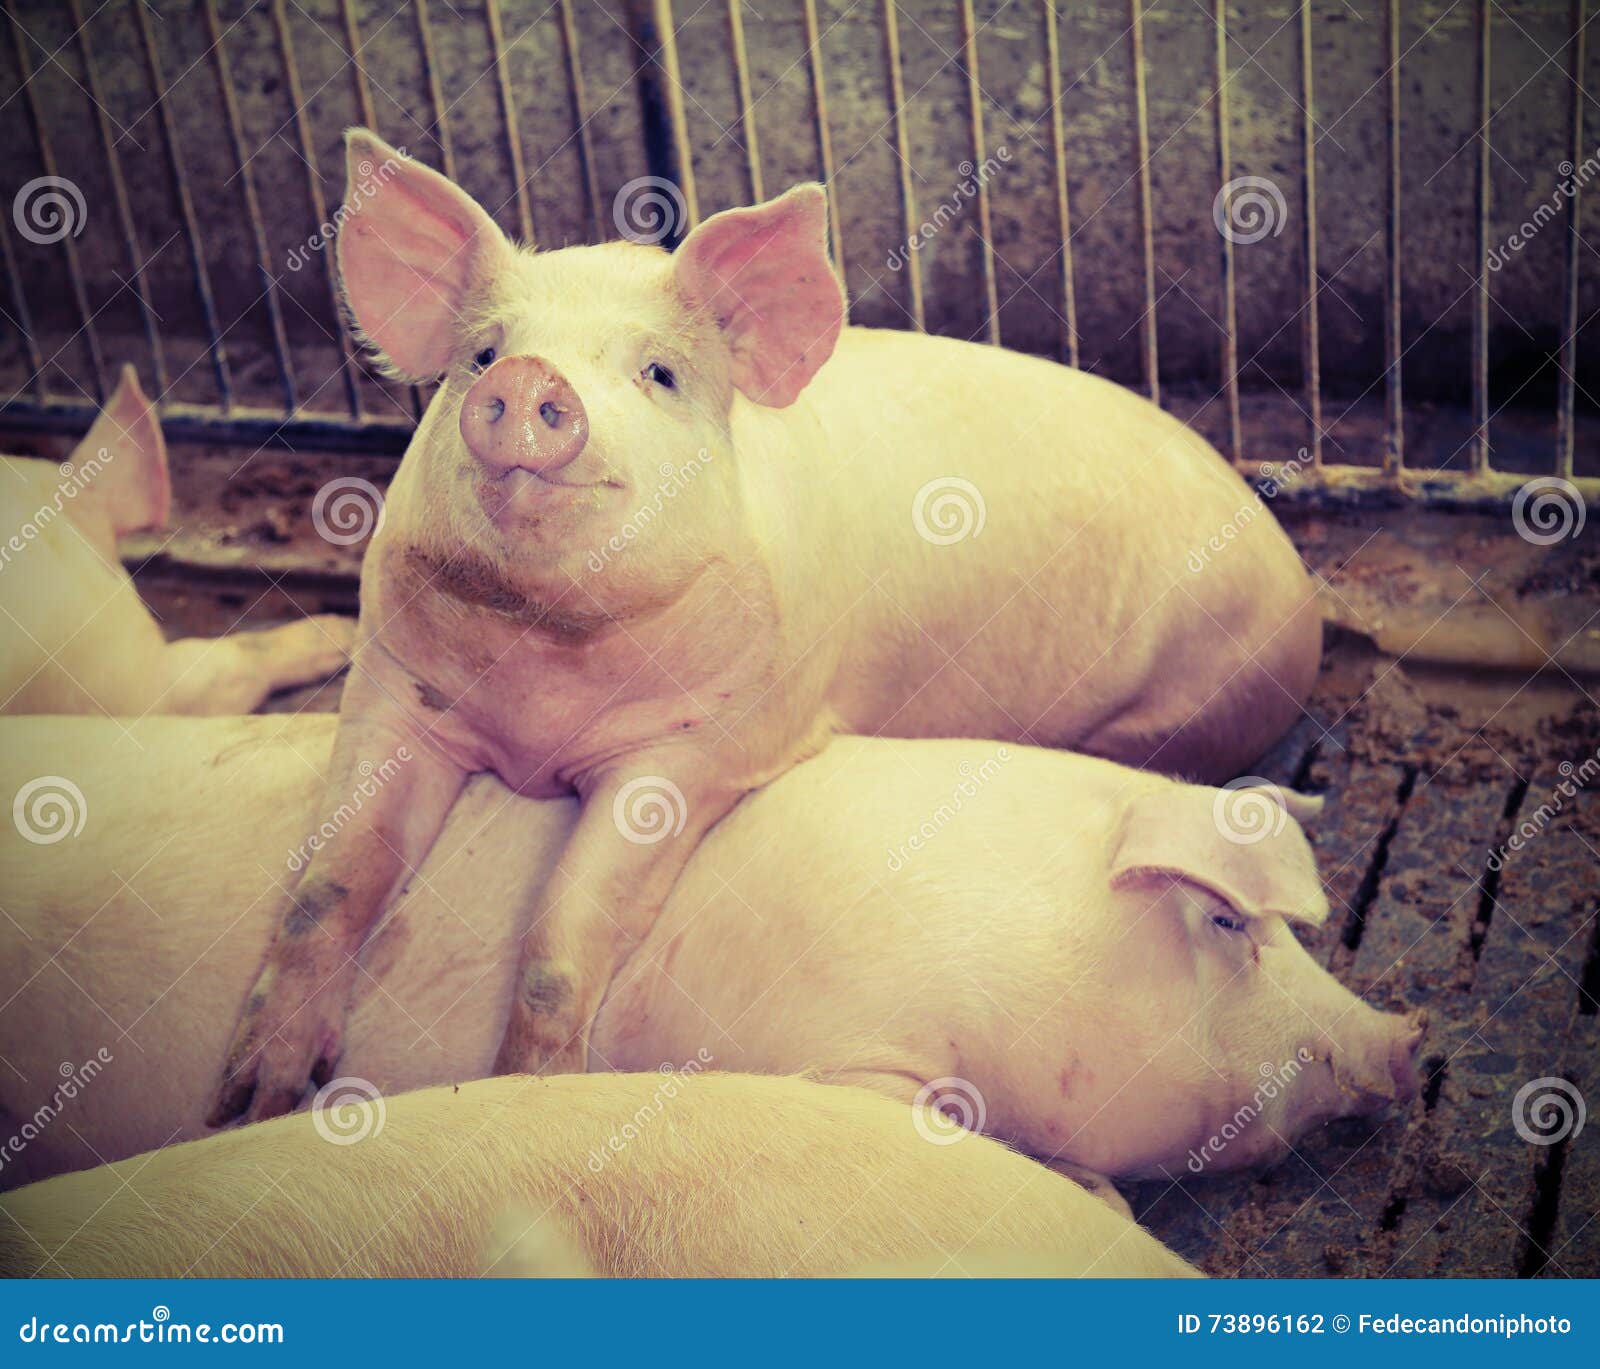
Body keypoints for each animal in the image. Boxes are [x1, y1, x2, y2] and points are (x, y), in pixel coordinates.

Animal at [212, 130, 1322, 1123]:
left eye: (660, 374)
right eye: (480, 353)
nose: (526, 382)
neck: (542, 684)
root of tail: (1294, 580)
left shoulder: (710, 741)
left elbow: (563, 935)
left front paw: (523, 1087)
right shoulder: (393, 683)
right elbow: (325, 887)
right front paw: (252, 1097)